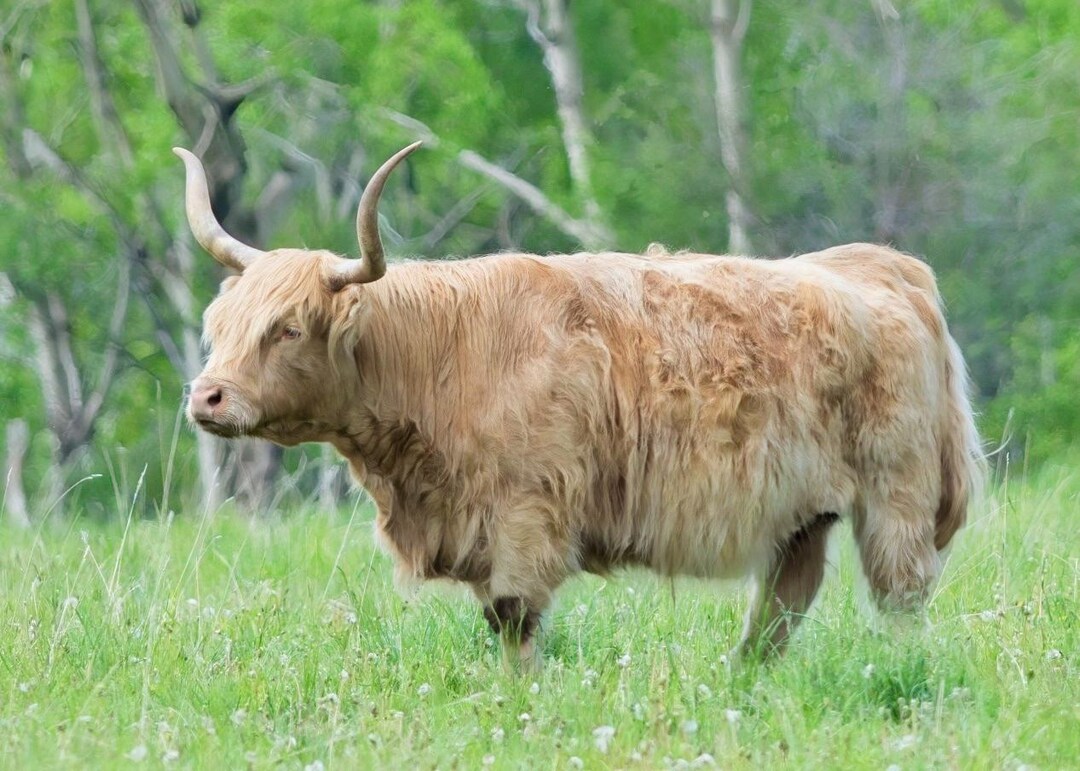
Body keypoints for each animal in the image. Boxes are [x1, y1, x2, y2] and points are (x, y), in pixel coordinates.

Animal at [175, 142, 984, 668]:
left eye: (288, 327)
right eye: (221, 323)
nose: (207, 396)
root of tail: (884, 267)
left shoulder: (527, 517)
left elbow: (514, 624)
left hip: (897, 497)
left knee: (900, 594)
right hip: (802, 514)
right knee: (783, 602)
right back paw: (743, 676)